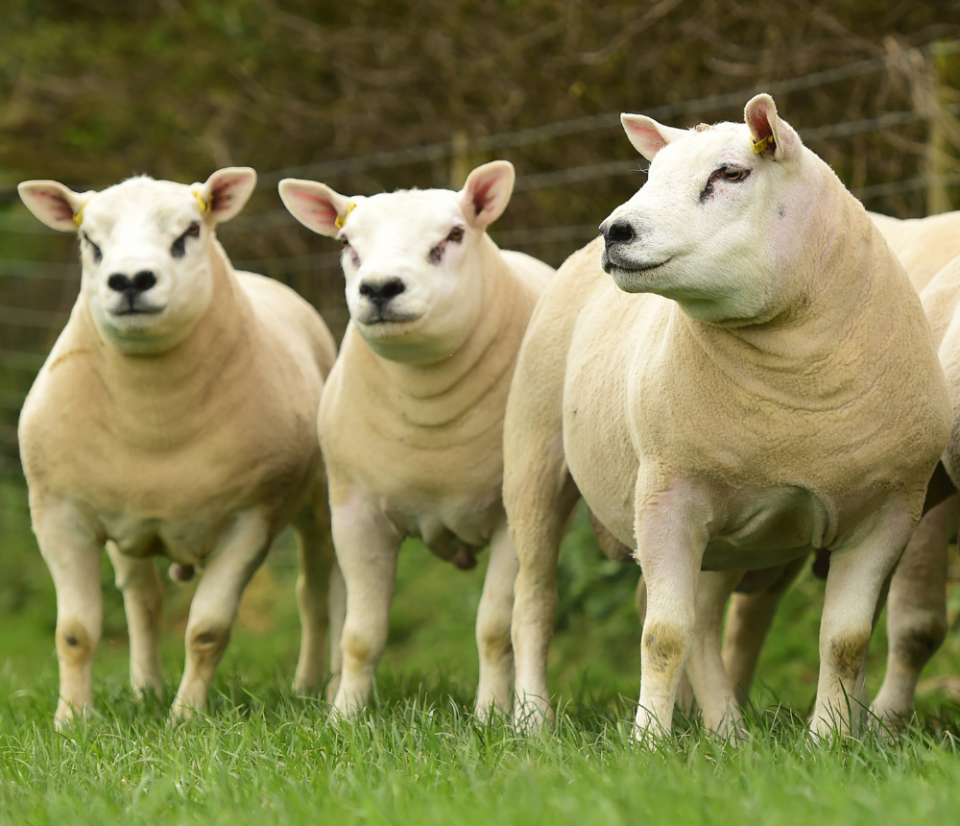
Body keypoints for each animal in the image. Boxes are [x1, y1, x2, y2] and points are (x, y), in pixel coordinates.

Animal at [17, 168, 343, 727]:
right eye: (90, 240)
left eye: (190, 231)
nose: (130, 281)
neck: (154, 423)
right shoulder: (60, 516)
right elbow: (76, 632)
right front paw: (71, 722)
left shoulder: (249, 523)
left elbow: (206, 631)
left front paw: (186, 718)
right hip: (127, 527)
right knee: (143, 599)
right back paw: (144, 689)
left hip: (317, 506)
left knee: (314, 594)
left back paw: (308, 688)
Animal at [278, 162, 554, 719]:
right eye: (347, 242)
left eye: (454, 234)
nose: (381, 288)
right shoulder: (355, 514)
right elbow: (360, 634)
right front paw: (344, 717)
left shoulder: (508, 519)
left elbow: (494, 630)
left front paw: (489, 717)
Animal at [503, 94, 951, 739]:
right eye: (652, 176)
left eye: (732, 174)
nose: (616, 232)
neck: (793, 395)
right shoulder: (667, 496)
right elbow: (664, 636)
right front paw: (647, 742)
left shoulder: (889, 512)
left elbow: (845, 641)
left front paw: (828, 741)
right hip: (535, 459)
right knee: (535, 601)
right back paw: (531, 720)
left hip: (726, 535)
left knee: (707, 622)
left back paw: (726, 733)